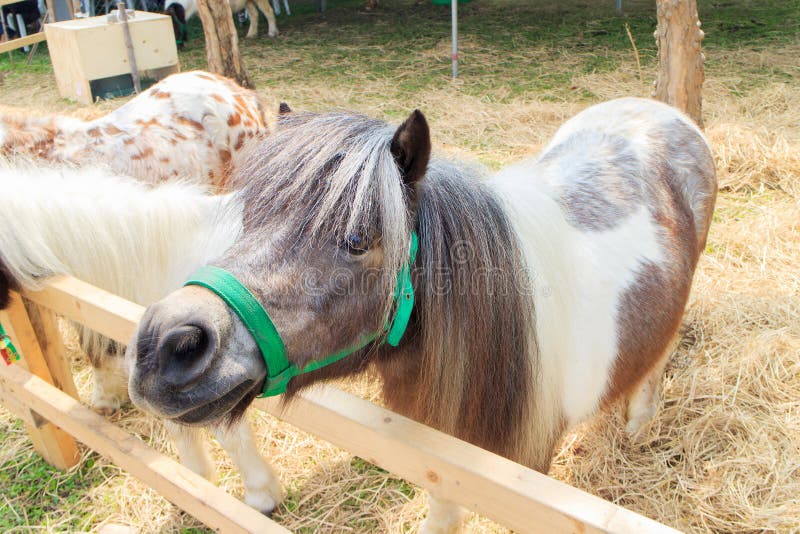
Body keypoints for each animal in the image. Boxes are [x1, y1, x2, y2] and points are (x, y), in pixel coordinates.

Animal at [0, 161, 284, 513]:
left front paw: (260, 496)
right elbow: (176, 425)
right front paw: (195, 481)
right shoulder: (164, 376)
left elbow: (229, 434)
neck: (156, 261)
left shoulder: (211, 378)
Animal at [124, 97, 716, 531]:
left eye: (358, 239)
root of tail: (663, 111)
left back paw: (639, 423)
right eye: (249, 218)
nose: (164, 346)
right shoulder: (448, 463)